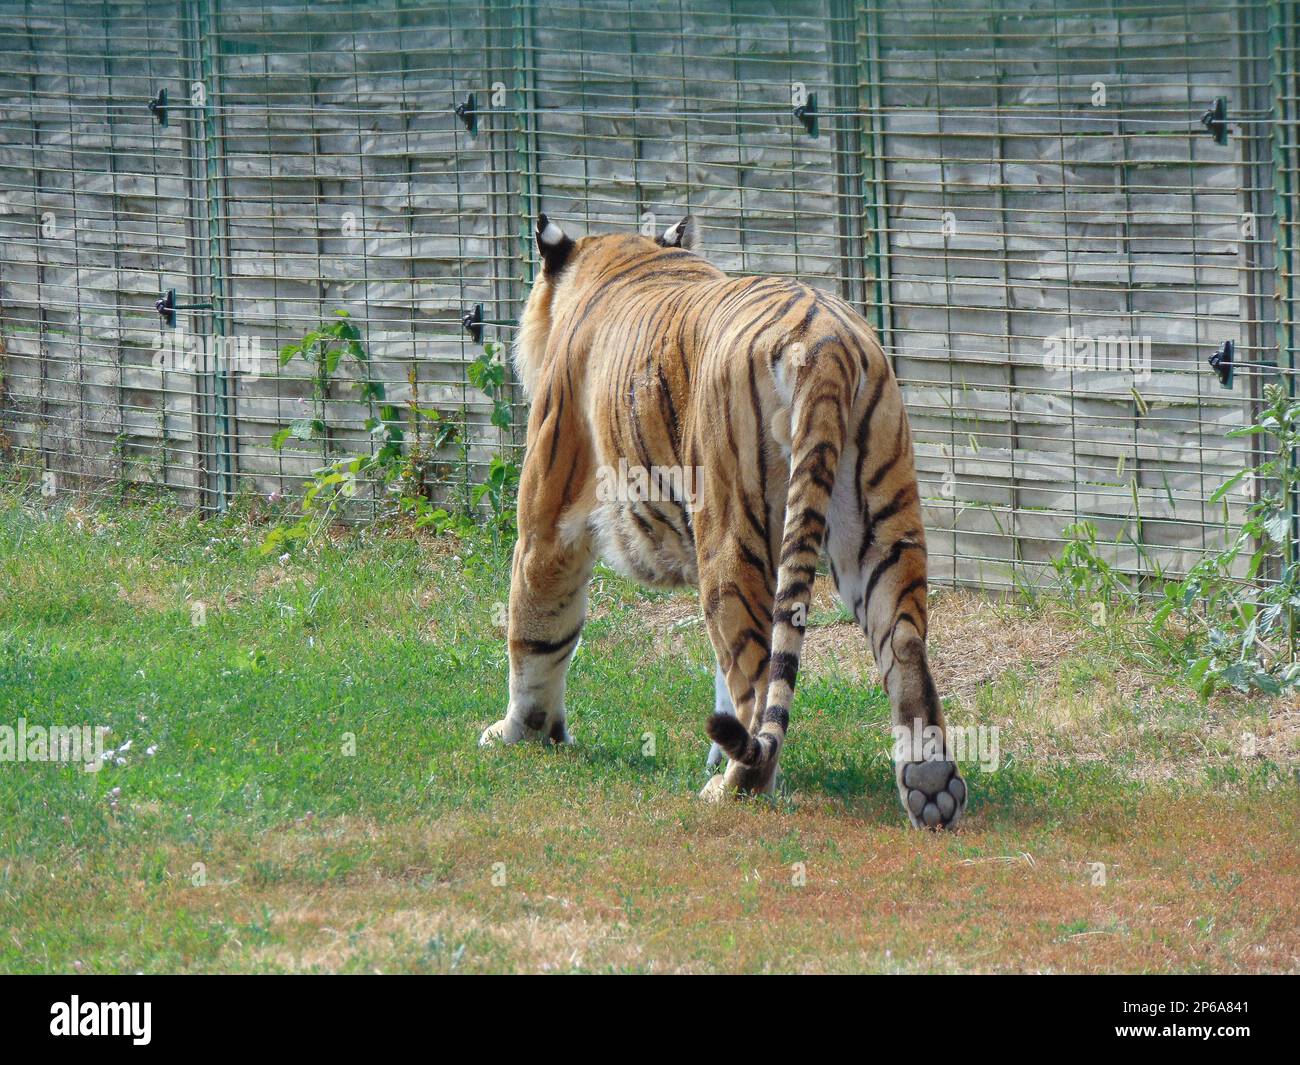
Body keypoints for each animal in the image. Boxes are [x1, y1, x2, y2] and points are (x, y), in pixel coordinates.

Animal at [477, 213, 968, 829]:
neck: (624, 256)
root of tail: (827, 343)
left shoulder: (547, 517)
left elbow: (535, 629)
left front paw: (519, 733)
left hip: (733, 539)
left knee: (758, 677)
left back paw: (734, 785)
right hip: (881, 521)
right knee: (903, 647)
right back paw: (931, 788)